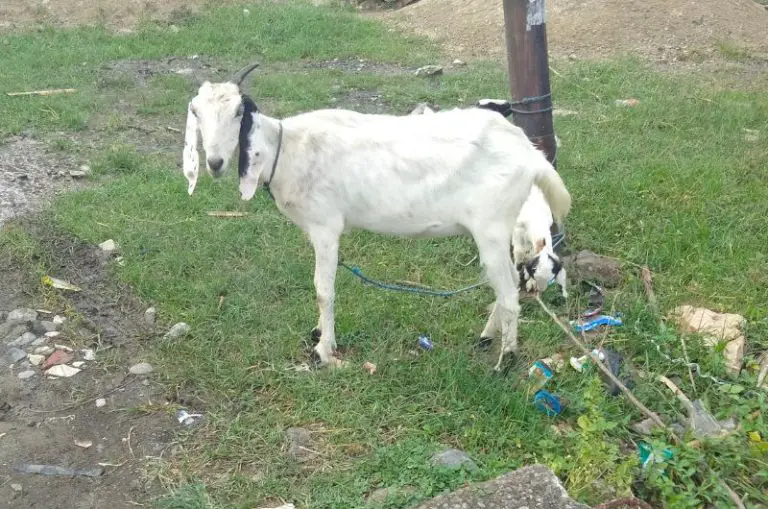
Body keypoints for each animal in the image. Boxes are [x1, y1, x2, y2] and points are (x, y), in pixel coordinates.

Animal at [182, 63, 572, 371]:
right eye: (196, 113)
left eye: (238, 112)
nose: (215, 163)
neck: (286, 148)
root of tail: (529, 153)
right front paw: (319, 333)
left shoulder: (326, 226)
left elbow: (323, 288)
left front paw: (325, 351)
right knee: (509, 281)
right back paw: (487, 338)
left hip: (491, 227)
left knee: (507, 291)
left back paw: (504, 361)